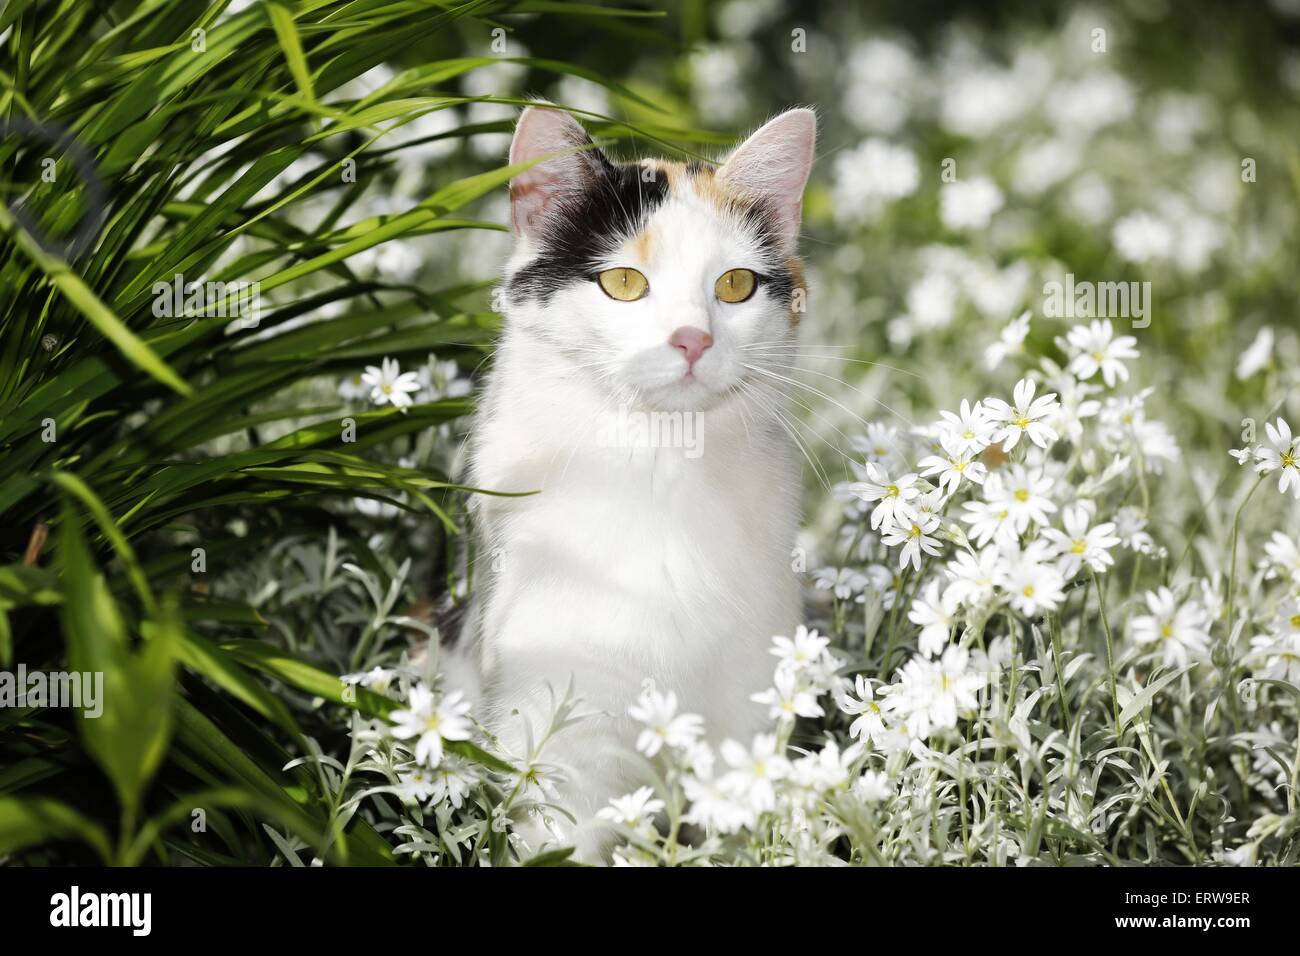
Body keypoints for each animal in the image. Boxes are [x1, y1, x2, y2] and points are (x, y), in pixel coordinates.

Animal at [462, 104, 816, 858]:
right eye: (624, 283)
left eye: (735, 285)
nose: (693, 339)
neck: (664, 464)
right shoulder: (559, 729)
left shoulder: (745, 710)